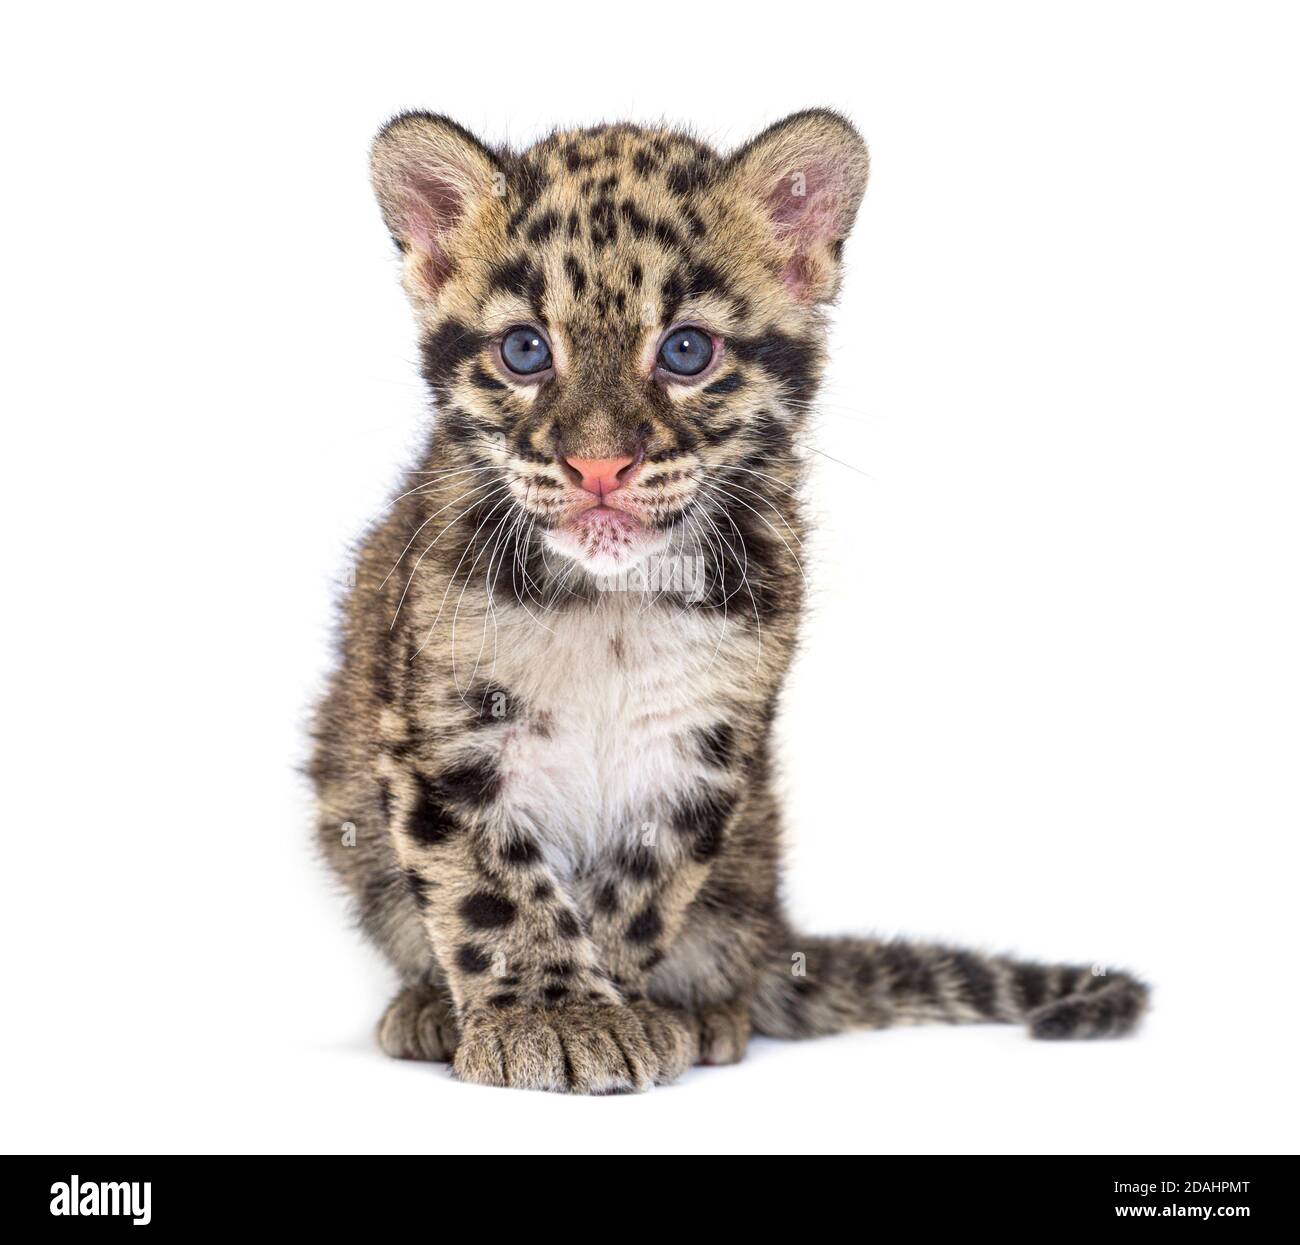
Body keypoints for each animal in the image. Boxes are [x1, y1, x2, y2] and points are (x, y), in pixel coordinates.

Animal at [309, 109, 1148, 1094]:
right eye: (524, 349)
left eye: (685, 350)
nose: (599, 464)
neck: (614, 604)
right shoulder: (445, 728)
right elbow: (489, 882)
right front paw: (546, 1012)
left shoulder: (705, 743)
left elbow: (637, 894)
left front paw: (614, 1009)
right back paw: (429, 1008)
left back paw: (705, 1009)